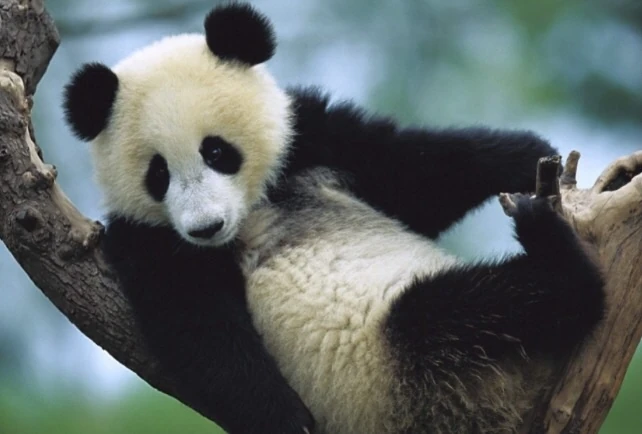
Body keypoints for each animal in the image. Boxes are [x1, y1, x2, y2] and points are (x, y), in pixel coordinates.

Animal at [62, 3, 605, 434]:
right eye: (159, 174)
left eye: (216, 151)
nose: (205, 227)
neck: (254, 209)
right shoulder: (149, 240)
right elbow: (202, 331)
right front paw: (285, 420)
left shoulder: (311, 141)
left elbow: (415, 172)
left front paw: (528, 155)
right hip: (410, 372)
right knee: (469, 310)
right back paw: (550, 249)